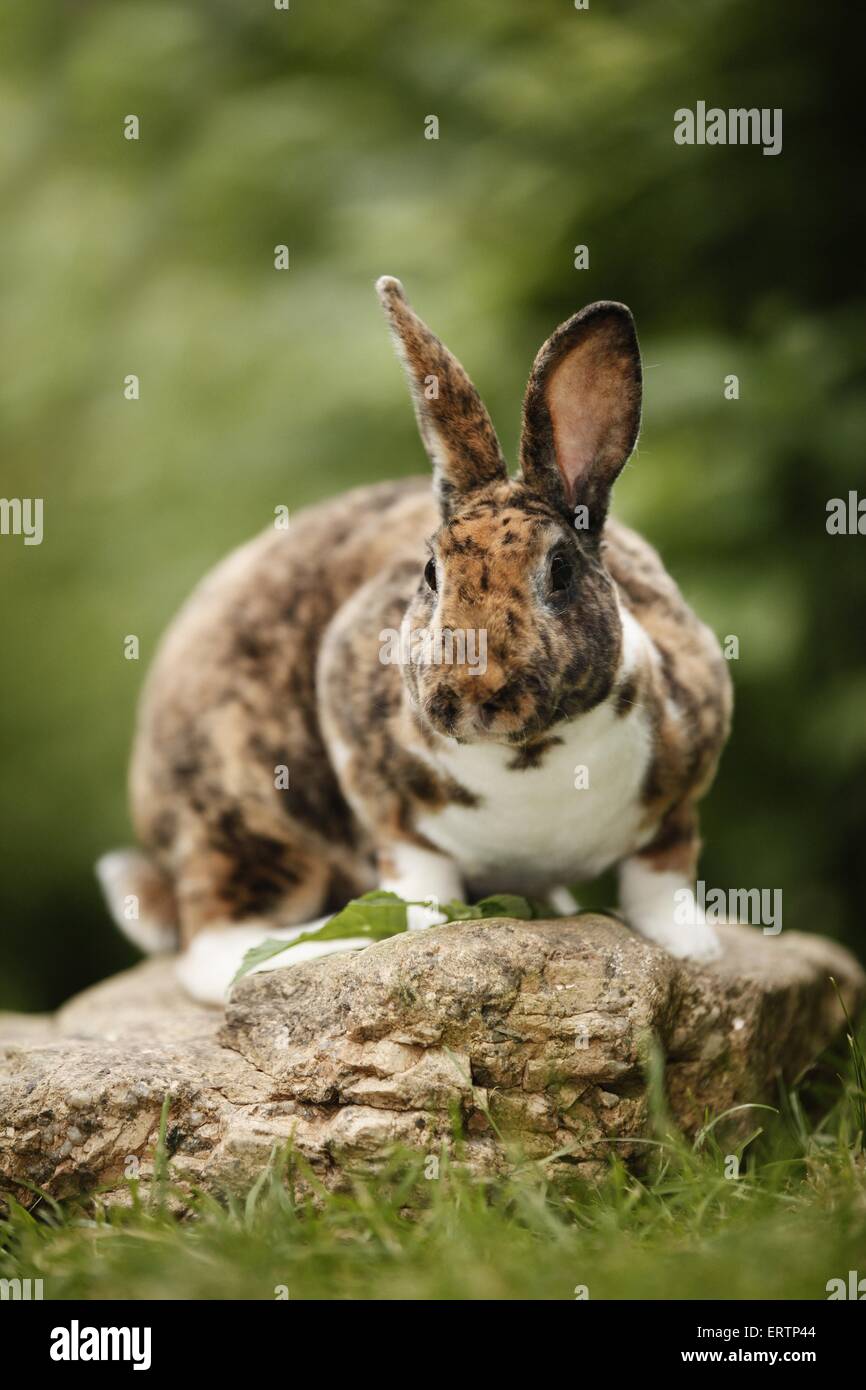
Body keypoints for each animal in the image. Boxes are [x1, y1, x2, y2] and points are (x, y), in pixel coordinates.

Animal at [97, 277, 732, 1003]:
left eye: (561, 570)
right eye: (431, 572)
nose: (472, 692)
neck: (530, 760)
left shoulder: (681, 805)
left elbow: (662, 879)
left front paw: (695, 951)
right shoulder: (389, 814)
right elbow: (419, 882)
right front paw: (419, 933)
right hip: (239, 822)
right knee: (214, 945)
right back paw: (319, 946)